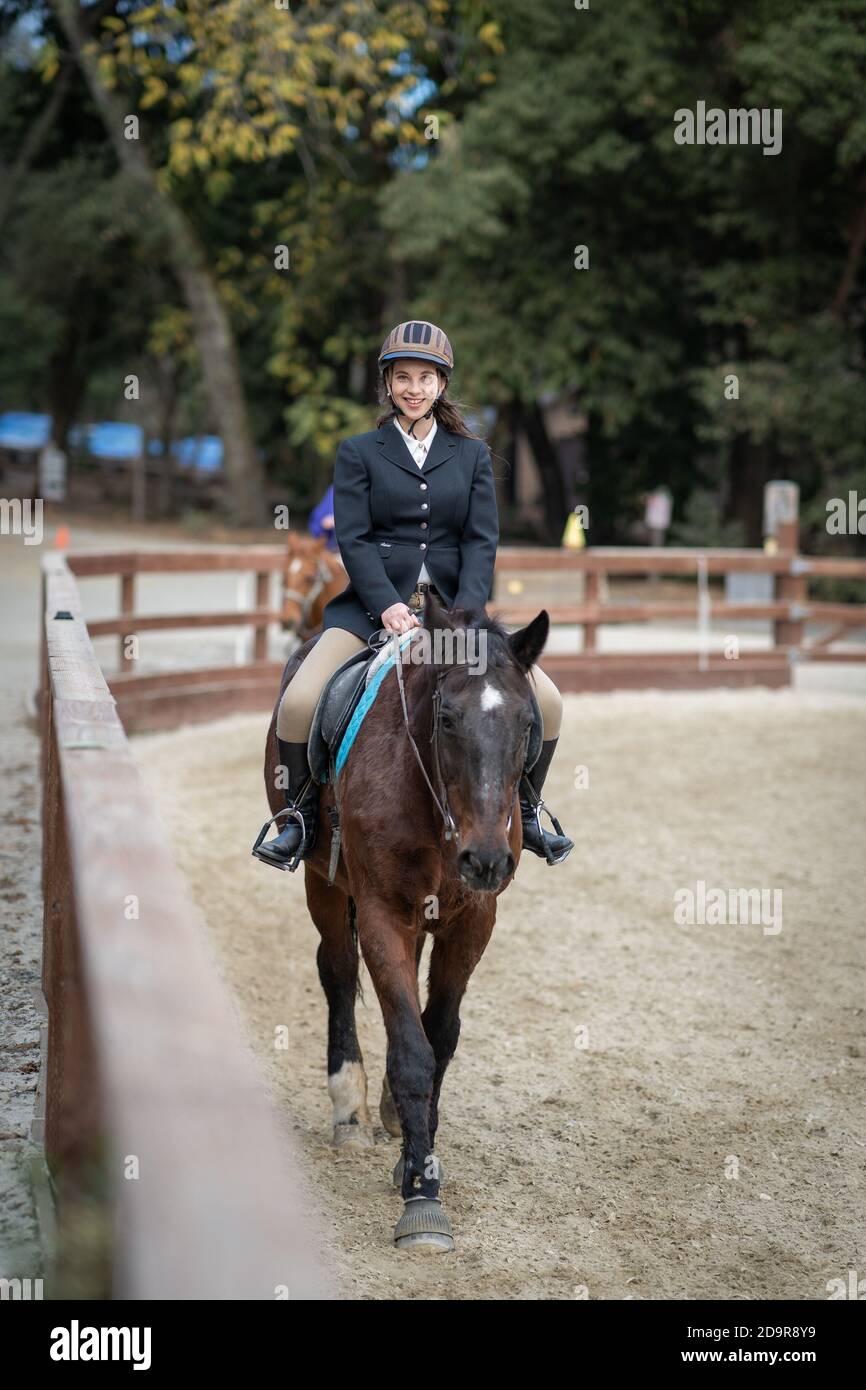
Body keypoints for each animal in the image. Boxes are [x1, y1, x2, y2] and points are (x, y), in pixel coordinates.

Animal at [263, 592, 551, 1251]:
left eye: (528, 725)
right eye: (446, 719)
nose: (485, 859)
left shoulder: (473, 919)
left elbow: (438, 1037)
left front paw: (418, 1150)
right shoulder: (379, 913)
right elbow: (412, 1052)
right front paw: (422, 1198)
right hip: (324, 882)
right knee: (338, 973)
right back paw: (350, 1109)